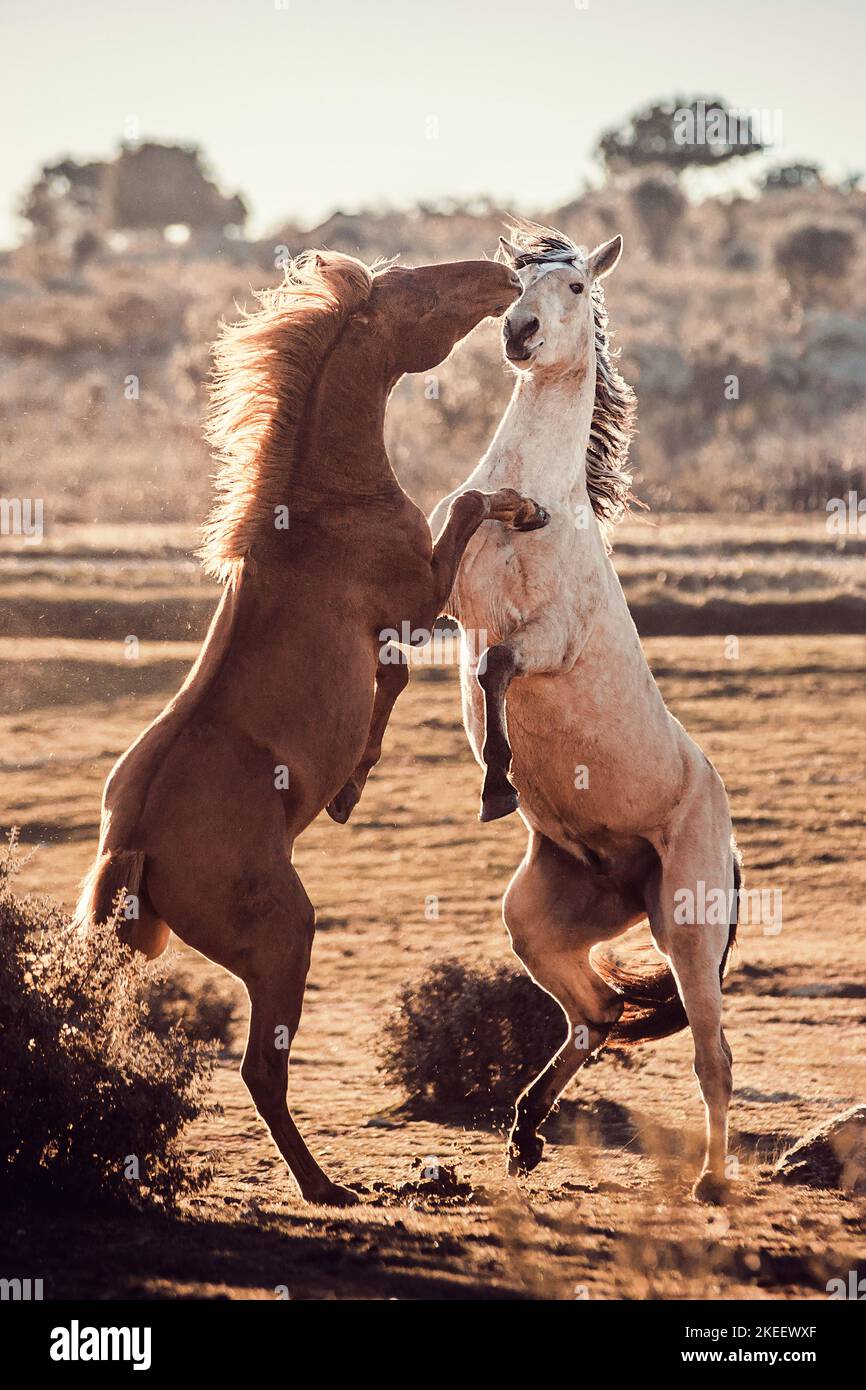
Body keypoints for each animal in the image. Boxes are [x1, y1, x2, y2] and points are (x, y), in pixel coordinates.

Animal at [74, 249, 549, 1207]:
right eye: (417, 291)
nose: (498, 271)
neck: (323, 508)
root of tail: (134, 839)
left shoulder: (399, 622)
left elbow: (393, 676)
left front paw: (350, 789)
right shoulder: (420, 594)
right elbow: (469, 504)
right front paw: (527, 510)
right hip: (285, 941)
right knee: (262, 1069)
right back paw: (325, 1187)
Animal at [428, 222, 741, 1204]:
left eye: (572, 287)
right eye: (513, 284)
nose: (519, 336)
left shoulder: (546, 641)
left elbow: (497, 666)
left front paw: (495, 783)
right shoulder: (437, 601)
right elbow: (467, 506)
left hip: (685, 928)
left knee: (714, 1058)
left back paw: (710, 1186)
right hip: (541, 920)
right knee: (596, 1014)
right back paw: (525, 1133)